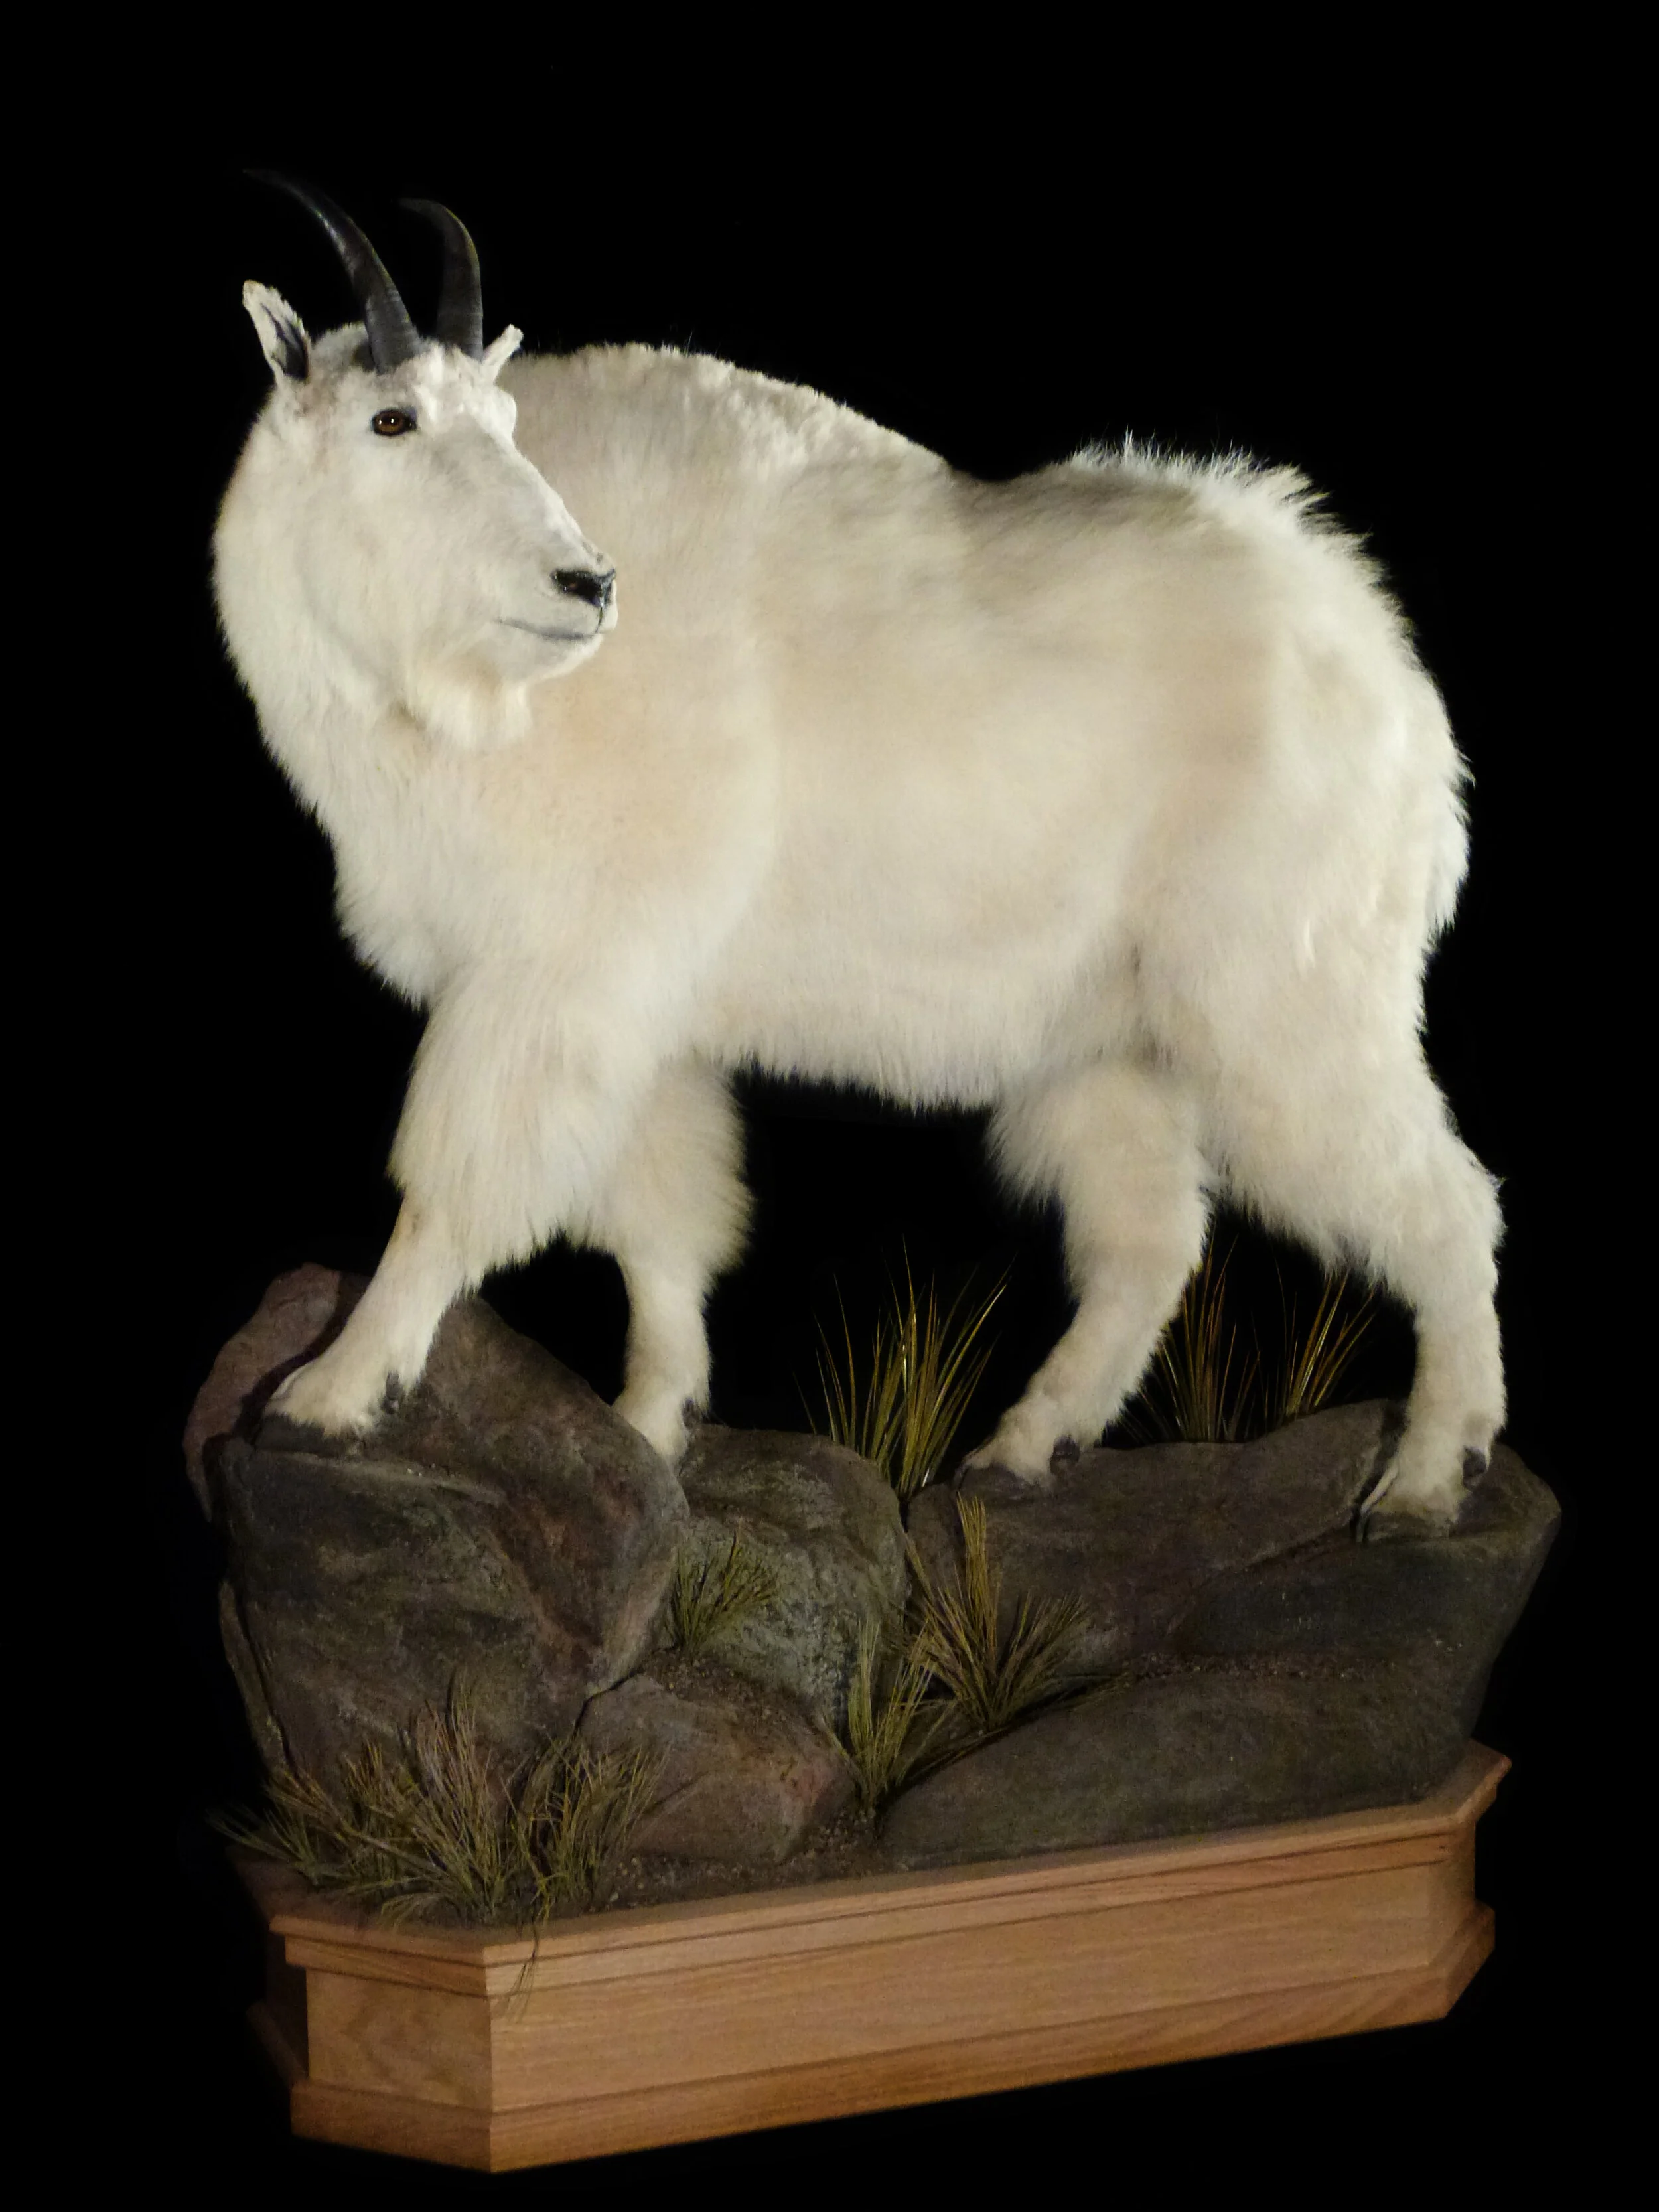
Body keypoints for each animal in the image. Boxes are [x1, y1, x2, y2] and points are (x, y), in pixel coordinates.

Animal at [214, 180, 1504, 1532]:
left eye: (503, 420)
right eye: (391, 418)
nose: (586, 584)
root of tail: (1385, 672)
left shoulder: (548, 976)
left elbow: (452, 1187)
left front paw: (331, 1390)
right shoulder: (639, 1013)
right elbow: (664, 1225)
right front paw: (651, 1426)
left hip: (1285, 997)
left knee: (1443, 1203)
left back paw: (1427, 1475)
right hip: (1105, 1037)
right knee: (1148, 1238)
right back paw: (1022, 1448)